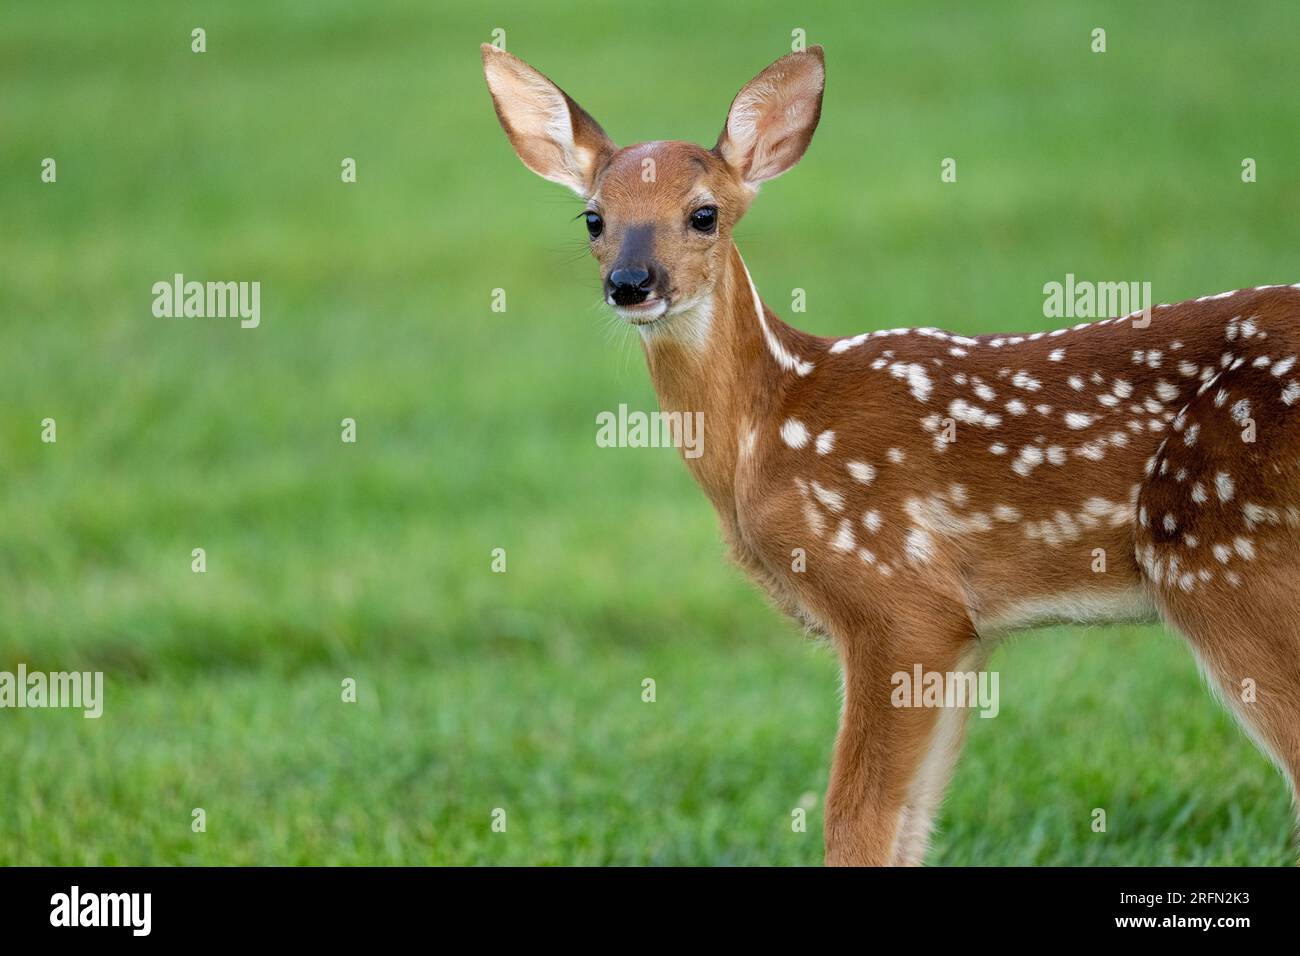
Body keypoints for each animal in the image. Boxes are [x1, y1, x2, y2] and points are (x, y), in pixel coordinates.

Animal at [481, 42, 1300, 866]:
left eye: (703, 214)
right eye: (594, 218)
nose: (631, 282)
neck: (766, 431)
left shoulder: (896, 592)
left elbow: (856, 819)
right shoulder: (968, 635)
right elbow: (911, 822)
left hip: (1223, 562)